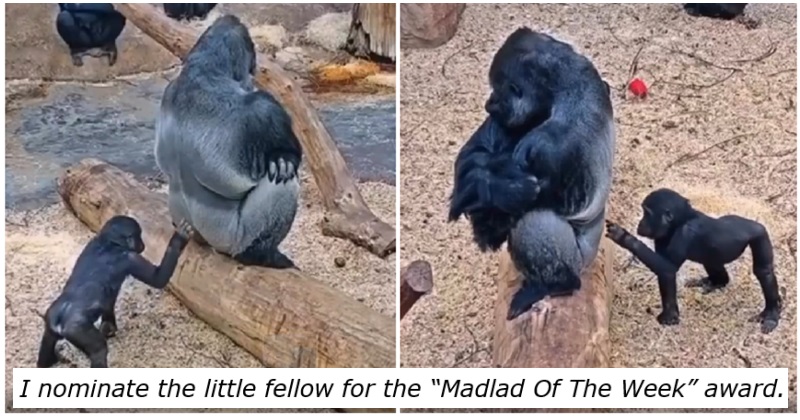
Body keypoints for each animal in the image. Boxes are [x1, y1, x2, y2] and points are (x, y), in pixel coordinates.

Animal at [37, 216, 193, 368]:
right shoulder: (130, 258)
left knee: (47, 340)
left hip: (50, 318)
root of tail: (59, 321)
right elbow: (158, 279)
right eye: (138, 237)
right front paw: (179, 239)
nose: (143, 245)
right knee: (99, 349)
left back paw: (47, 362)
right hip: (76, 329)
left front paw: (108, 327)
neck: (110, 243)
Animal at [155, 15, 302, 270]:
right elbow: (288, 157)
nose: (252, 78)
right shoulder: (262, 108)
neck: (204, 71)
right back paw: (260, 255)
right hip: (231, 240)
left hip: (190, 229)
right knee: (283, 181)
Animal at [449, 27, 615, 321]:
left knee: (532, 221)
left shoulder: (545, 145)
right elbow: (474, 156)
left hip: (582, 260)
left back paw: (558, 283)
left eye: (497, 91)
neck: (569, 87)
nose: (488, 103)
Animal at [604, 188, 782, 334]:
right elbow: (664, 271)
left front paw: (623, 237)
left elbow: (667, 268)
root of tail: (755, 224)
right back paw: (716, 282)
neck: (681, 221)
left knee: (763, 272)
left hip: (759, 236)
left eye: (647, 213)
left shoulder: (686, 233)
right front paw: (670, 314)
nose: (641, 222)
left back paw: (771, 313)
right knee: (711, 261)